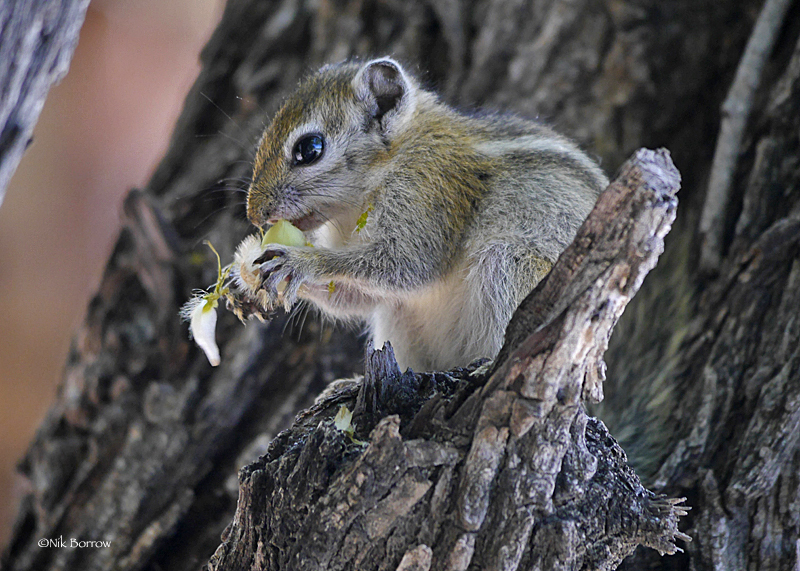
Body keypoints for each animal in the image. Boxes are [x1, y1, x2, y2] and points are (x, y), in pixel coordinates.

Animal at [244, 57, 608, 372]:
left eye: (310, 149)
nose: (256, 214)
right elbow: (353, 298)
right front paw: (246, 277)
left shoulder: (426, 195)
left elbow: (407, 264)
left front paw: (299, 262)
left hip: (512, 264)